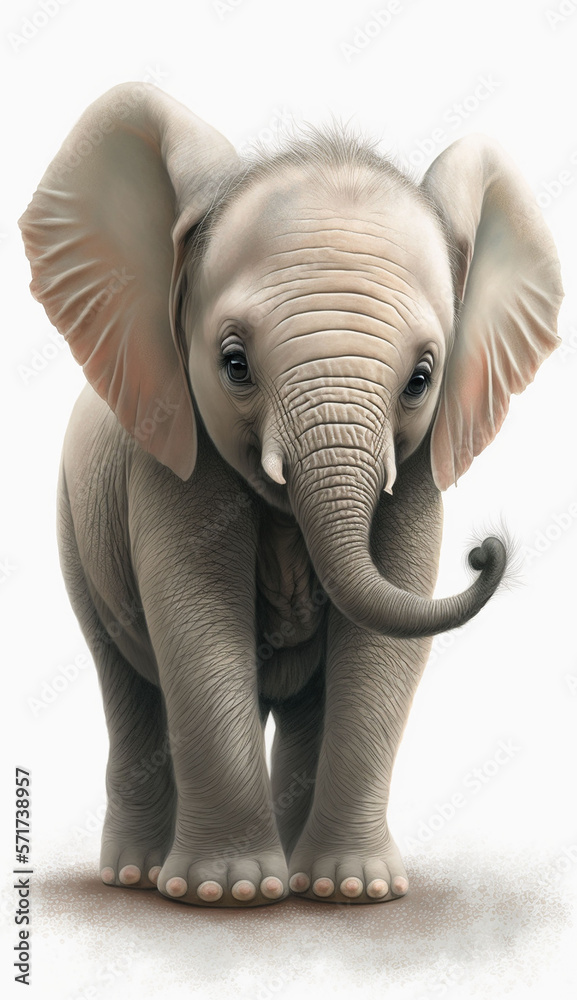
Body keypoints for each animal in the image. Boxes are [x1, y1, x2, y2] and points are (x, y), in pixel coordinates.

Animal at [19, 83, 563, 907]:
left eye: (420, 378)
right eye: (234, 364)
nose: (485, 550)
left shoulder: (416, 474)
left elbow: (381, 645)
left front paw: (355, 892)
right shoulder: (172, 460)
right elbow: (199, 626)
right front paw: (229, 895)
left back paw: (305, 879)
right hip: (74, 528)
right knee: (126, 682)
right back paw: (136, 875)